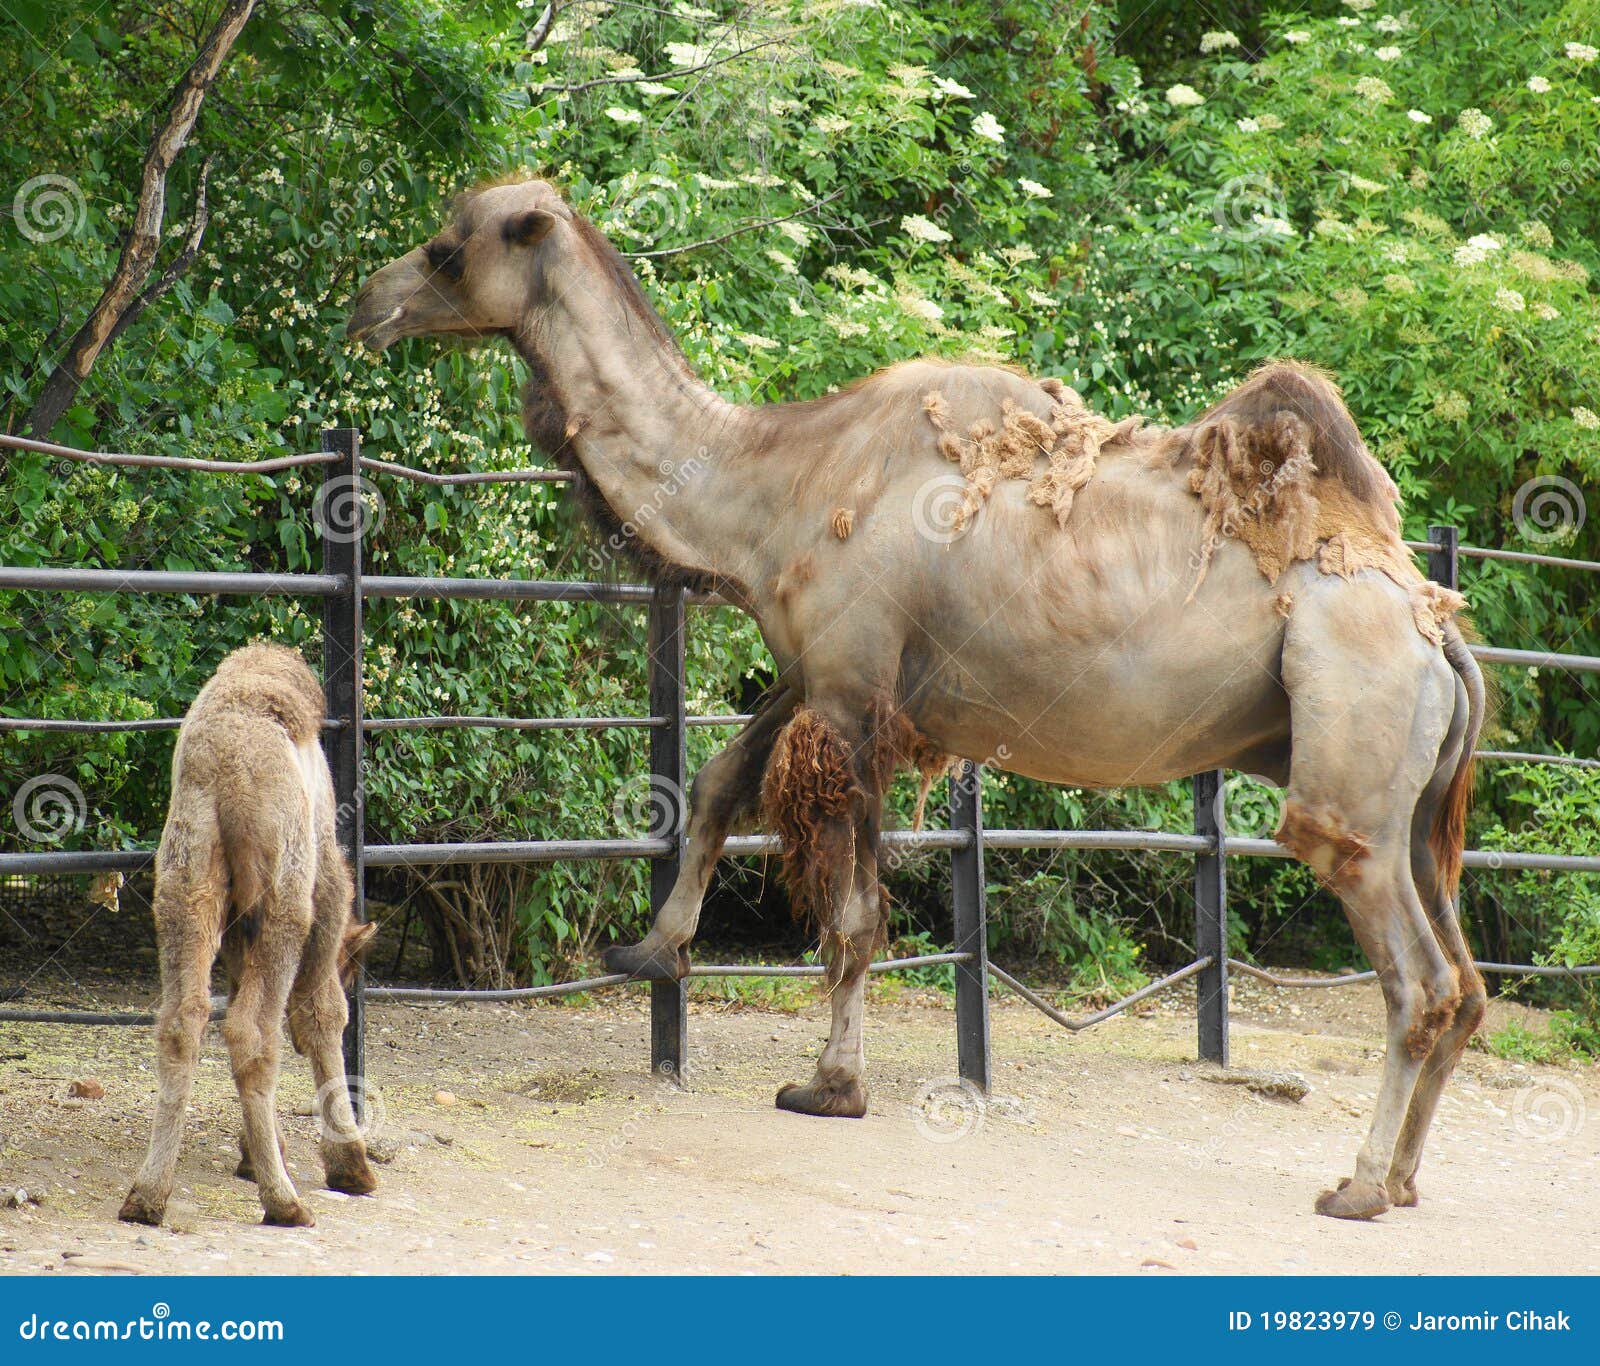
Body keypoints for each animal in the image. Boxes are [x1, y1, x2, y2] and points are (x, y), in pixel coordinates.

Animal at [120, 643, 379, 1228]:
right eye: (351, 968)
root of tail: (227, 774)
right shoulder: (325, 894)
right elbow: (322, 1013)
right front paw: (350, 1163)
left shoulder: (239, 929)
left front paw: (252, 1154)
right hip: (286, 896)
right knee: (252, 1031)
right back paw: (285, 1202)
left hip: (186, 877)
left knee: (184, 1020)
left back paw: (147, 1196)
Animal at [348, 176, 1487, 1220]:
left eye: (447, 248)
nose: (363, 303)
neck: (774, 481)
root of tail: (1435, 630)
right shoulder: (818, 664)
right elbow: (716, 780)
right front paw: (651, 948)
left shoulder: (856, 691)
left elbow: (852, 915)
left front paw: (829, 1084)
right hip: (1413, 803)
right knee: (1465, 981)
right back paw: (1407, 1177)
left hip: (1348, 743)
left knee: (1414, 976)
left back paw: (1357, 1184)